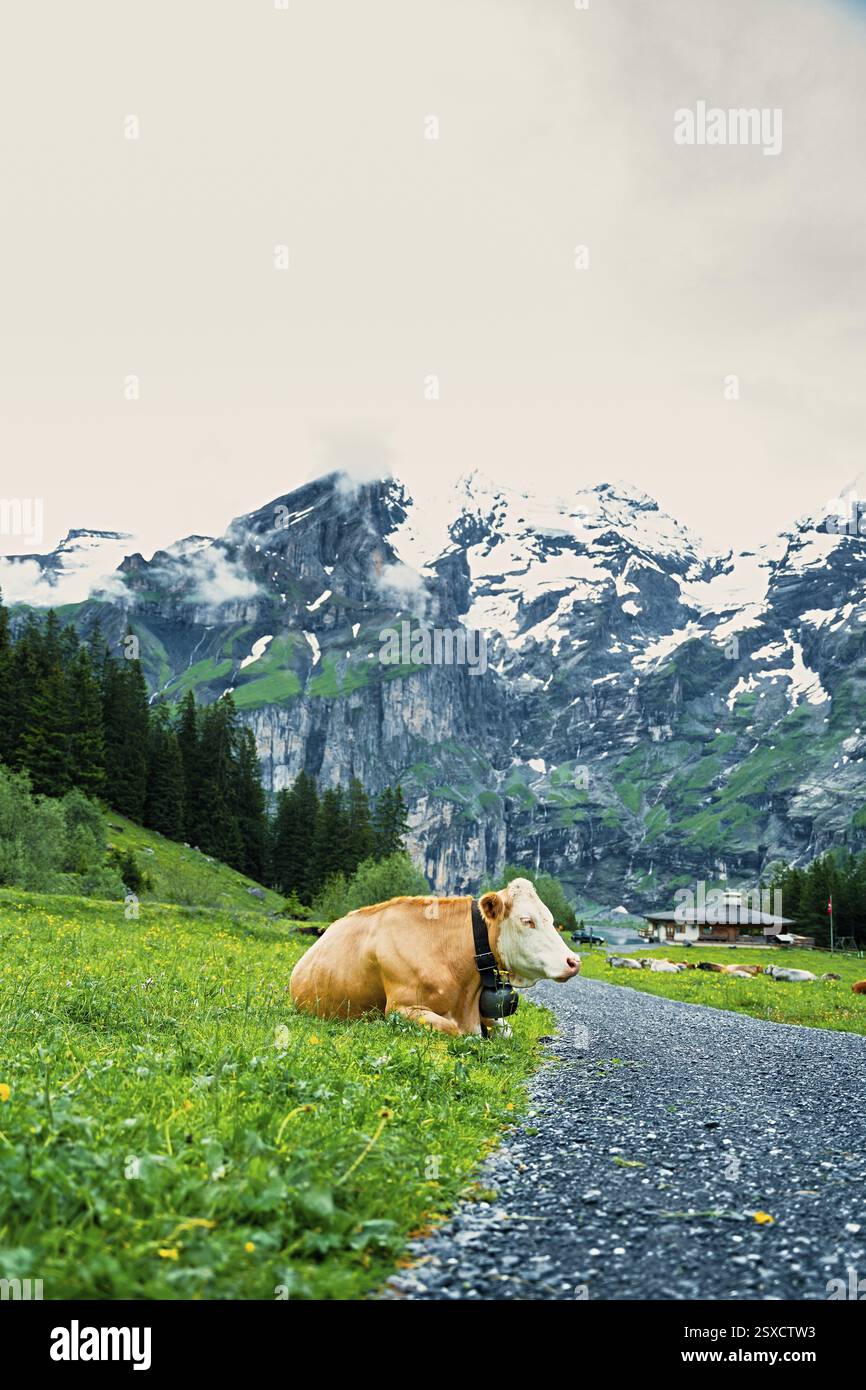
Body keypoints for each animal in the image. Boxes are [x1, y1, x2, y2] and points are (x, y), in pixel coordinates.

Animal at [289, 877, 581, 1037]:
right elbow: (454, 1029)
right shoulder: (400, 1010)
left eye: (550, 918)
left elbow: (506, 1030)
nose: (574, 961)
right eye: (527, 920)